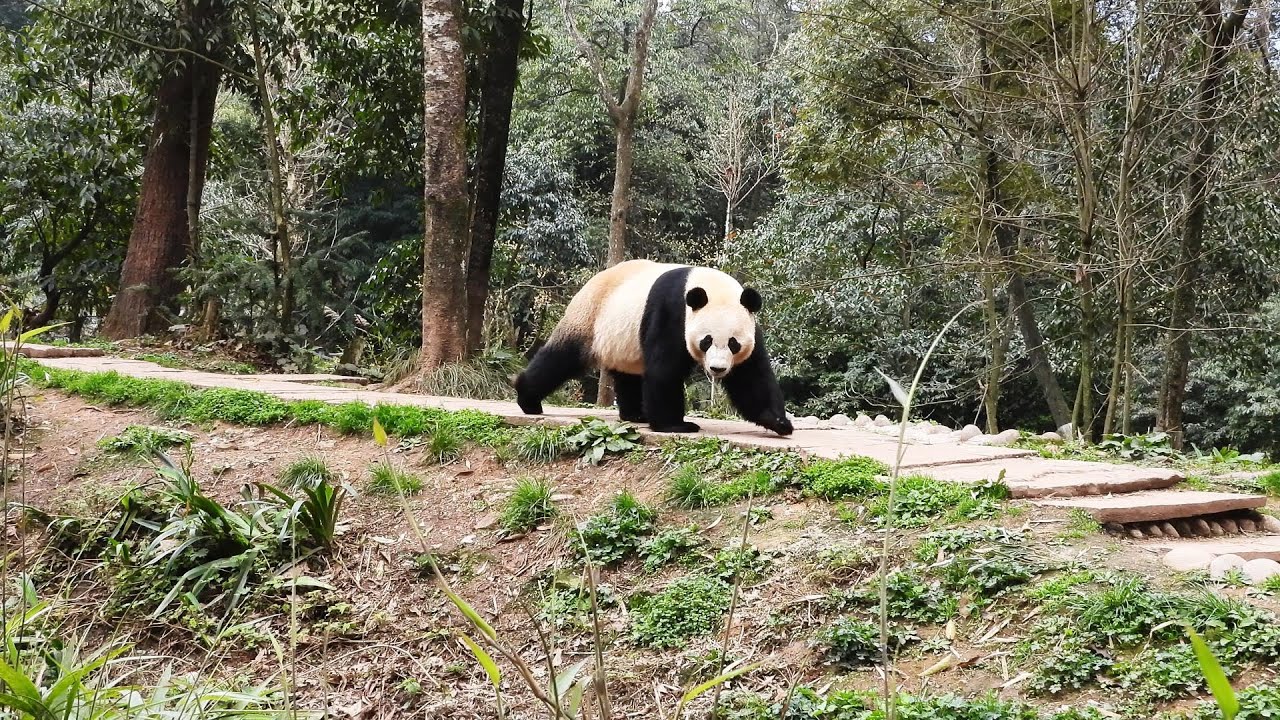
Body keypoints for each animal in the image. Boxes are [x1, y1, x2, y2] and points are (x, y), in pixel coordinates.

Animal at [515, 259, 794, 436]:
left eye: (734, 344)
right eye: (706, 340)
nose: (717, 369)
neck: (711, 287)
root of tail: (593, 280)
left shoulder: (749, 323)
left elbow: (751, 376)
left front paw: (780, 422)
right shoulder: (672, 312)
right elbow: (665, 369)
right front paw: (676, 425)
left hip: (623, 340)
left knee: (627, 375)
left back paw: (635, 414)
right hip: (590, 318)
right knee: (561, 359)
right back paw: (528, 399)